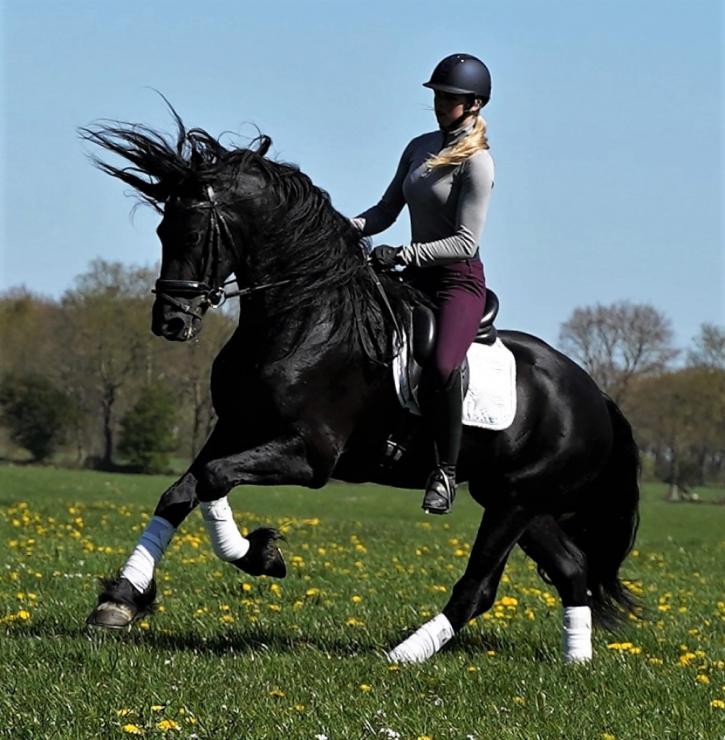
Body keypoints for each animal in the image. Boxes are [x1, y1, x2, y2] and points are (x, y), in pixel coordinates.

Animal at [80, 111, 640, 663]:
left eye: (195, 234)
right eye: (162, 229)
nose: (171, 322)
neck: (305, 320)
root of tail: (594, 394)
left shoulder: (312, 456)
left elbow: (215, 479)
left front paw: (261, 554)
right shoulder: (237, 427)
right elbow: (182, 491)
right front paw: (120, 601)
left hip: (516, 502)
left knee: (478, 587)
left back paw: (403, 655)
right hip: (515, 500)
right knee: (571, 571)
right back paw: (576, 662)